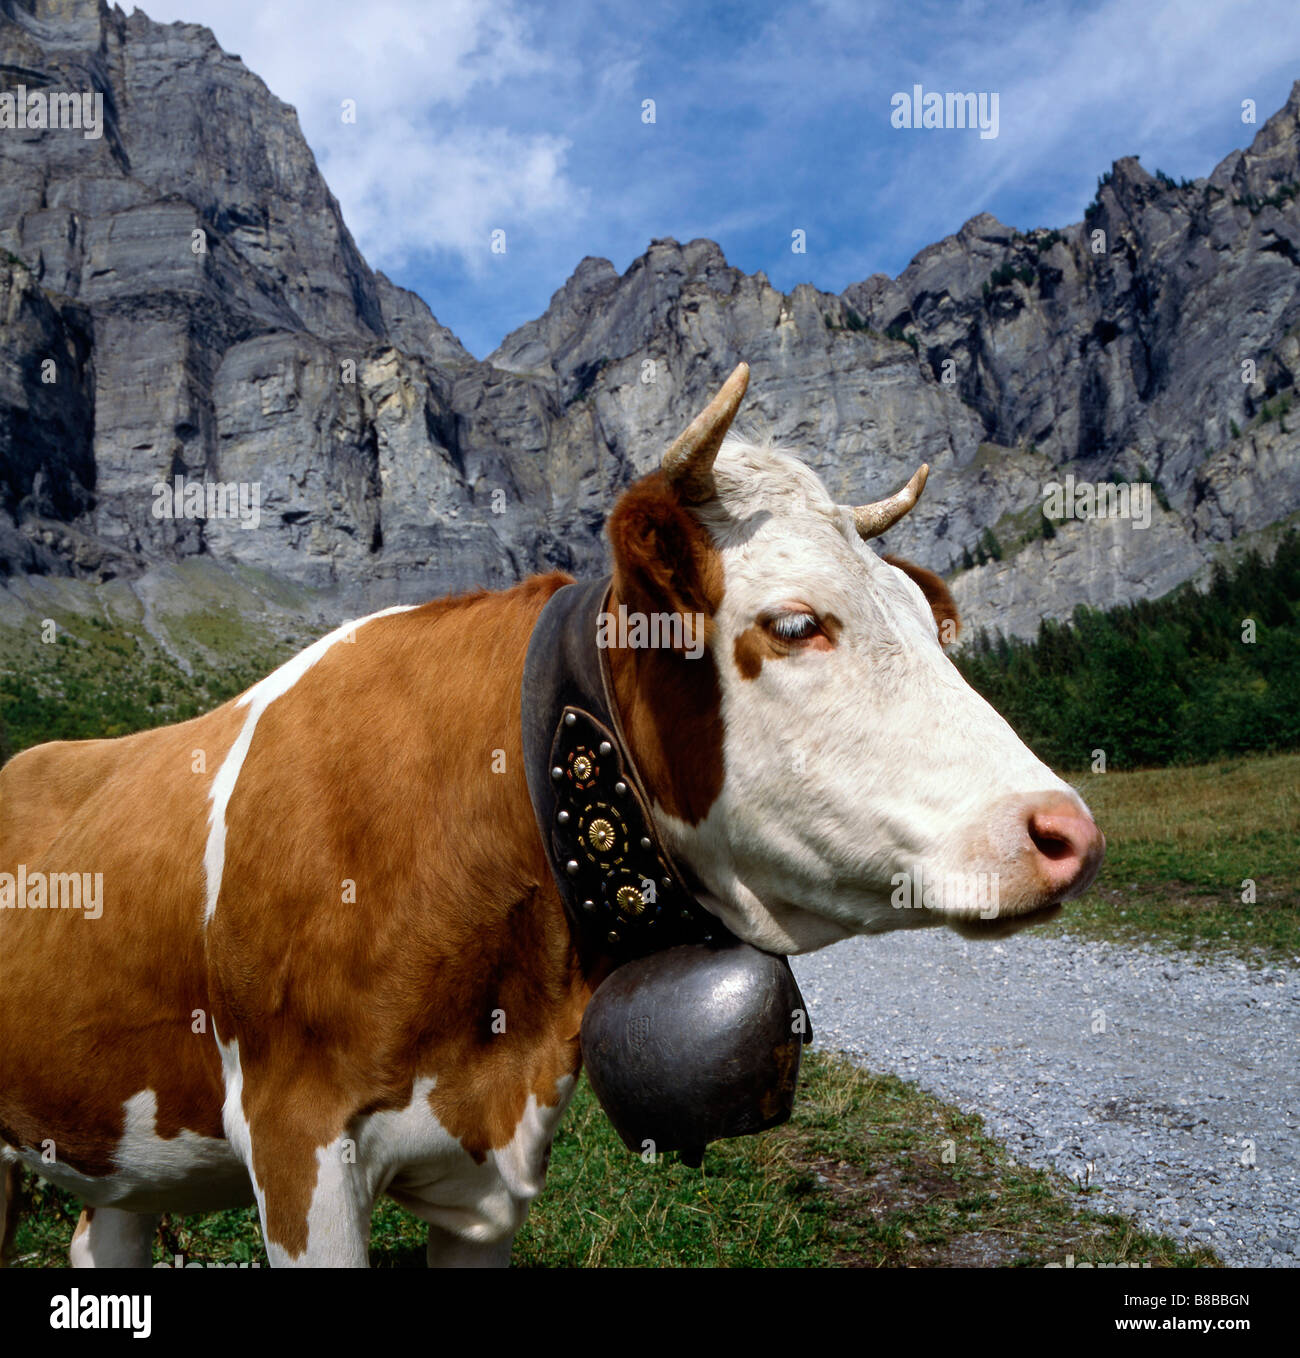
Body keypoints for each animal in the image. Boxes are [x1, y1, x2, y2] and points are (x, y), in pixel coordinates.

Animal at [0, 363, 1103, 1268]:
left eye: (928, 623)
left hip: (112, 1143)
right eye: (796, 623)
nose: (1069, 834)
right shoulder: (298, 1144)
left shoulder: (487, 1171)